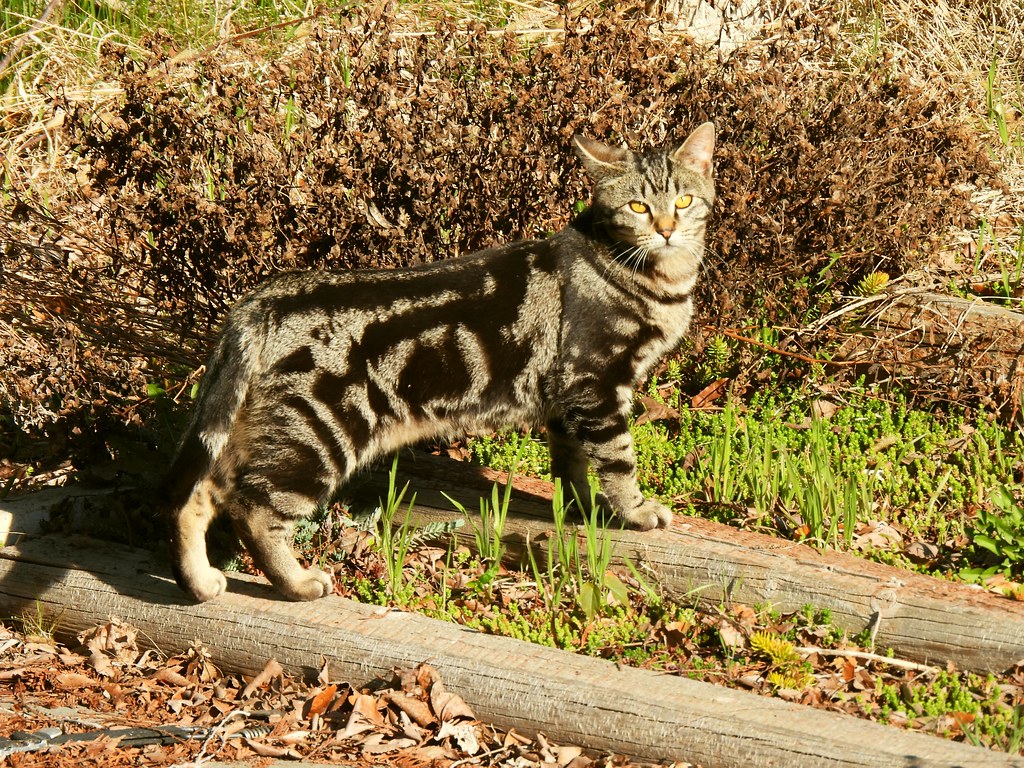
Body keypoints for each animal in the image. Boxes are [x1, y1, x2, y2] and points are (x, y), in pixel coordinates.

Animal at [163, 121, 716, 602]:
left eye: (684, 200)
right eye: (638, 206)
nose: (667, 229)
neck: (657, 280)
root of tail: (258, 302)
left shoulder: (568, 402)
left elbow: (572, 464)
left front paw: (581, 505)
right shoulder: (597, 385)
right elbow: (619, 460)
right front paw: (635, 512)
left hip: (250, 434)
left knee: (194, 497)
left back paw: (200, 582)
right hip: (316, 438)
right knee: (252, 510)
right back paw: (297, 583)